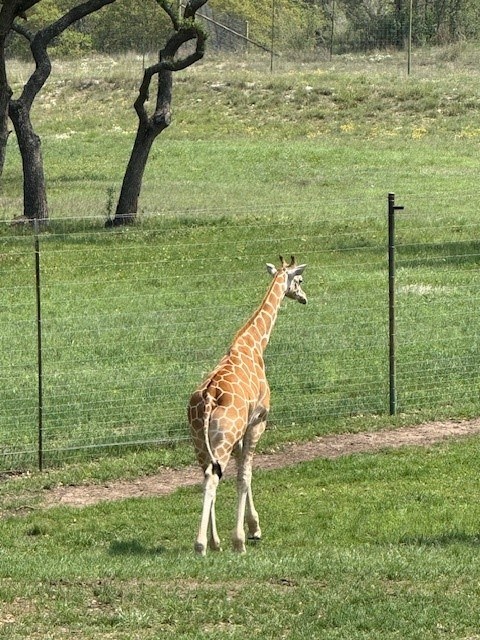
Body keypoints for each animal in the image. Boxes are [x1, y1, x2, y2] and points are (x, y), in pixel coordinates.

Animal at [188, 256, 307, 555]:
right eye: (299, 280)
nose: (304, 298)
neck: (253, 346)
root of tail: (208, 398)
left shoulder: (241, 433)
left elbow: (240, 475)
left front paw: (252, 529)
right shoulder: (257, 422)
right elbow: (245, 476)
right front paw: (244, 536)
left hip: (200, 441)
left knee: (207, 474)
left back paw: (214, 542)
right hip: (223, 438)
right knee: (213, 477)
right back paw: (202, 544)